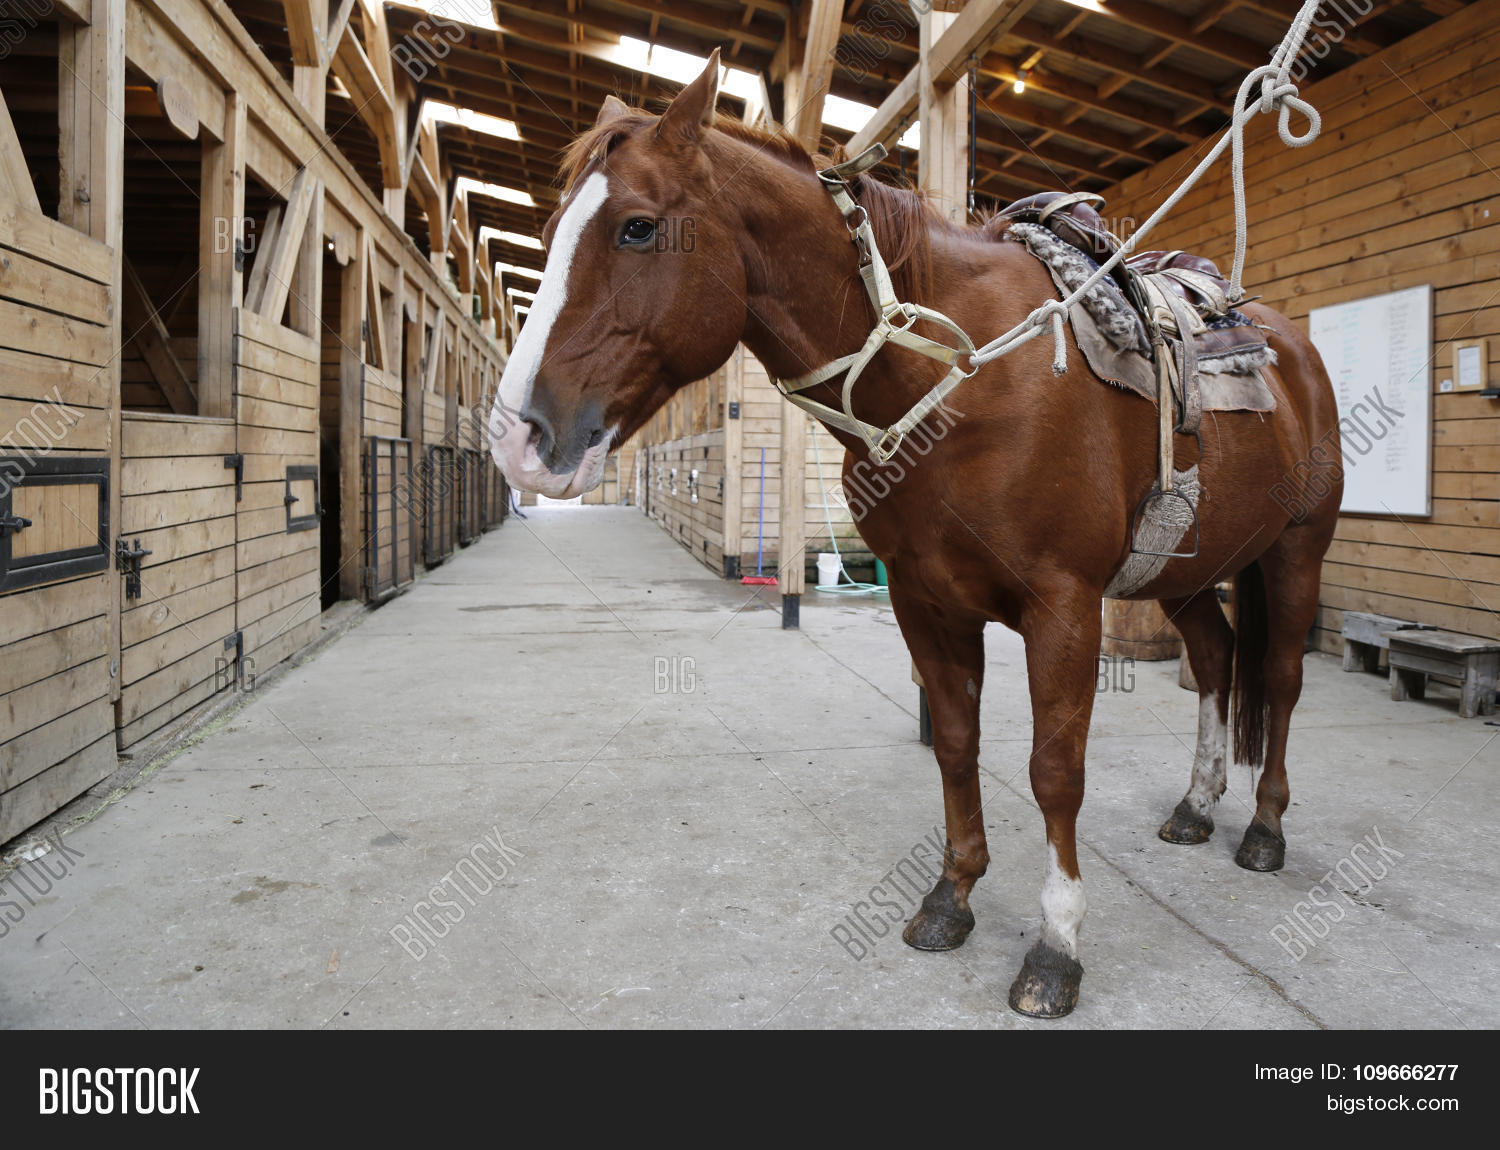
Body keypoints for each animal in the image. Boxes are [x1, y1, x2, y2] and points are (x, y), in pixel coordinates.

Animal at [489, 53, 1343, 1018]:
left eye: (636, 227)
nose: (517, 436)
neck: (961, 378)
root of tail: (1291, 348)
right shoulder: (923, 597)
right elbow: (959, 741)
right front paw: (952, 895)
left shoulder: (1064, 607)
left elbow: (1055, 769)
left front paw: (1056, 945)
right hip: (1185, 569)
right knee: (1215, 658)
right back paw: (1199, 804)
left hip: (1295, 550)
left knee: (1279, 678)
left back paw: (1264, 826)